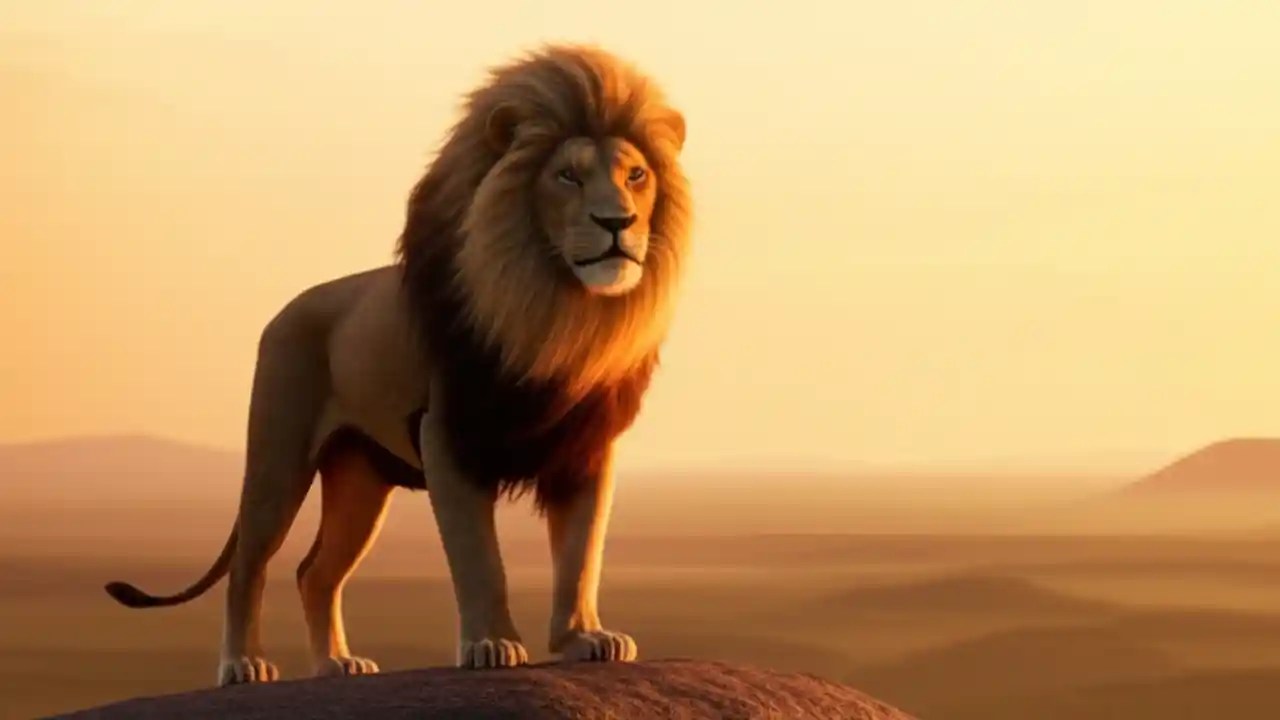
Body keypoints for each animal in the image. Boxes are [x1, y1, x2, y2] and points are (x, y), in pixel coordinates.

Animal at [102, 44, 691, 686]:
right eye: (568, 175)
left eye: (635, 175)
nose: (618, 223)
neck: (555, 311)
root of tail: (287, 309)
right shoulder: (446, 433)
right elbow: (479, 557)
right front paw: (491, 644)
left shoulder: (584, 447)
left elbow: (582, 552)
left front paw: (584, 637)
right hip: (278, 456)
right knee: (250, 564)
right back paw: (244, 664)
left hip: (360, 472)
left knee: (315, 570)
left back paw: (338, 663)